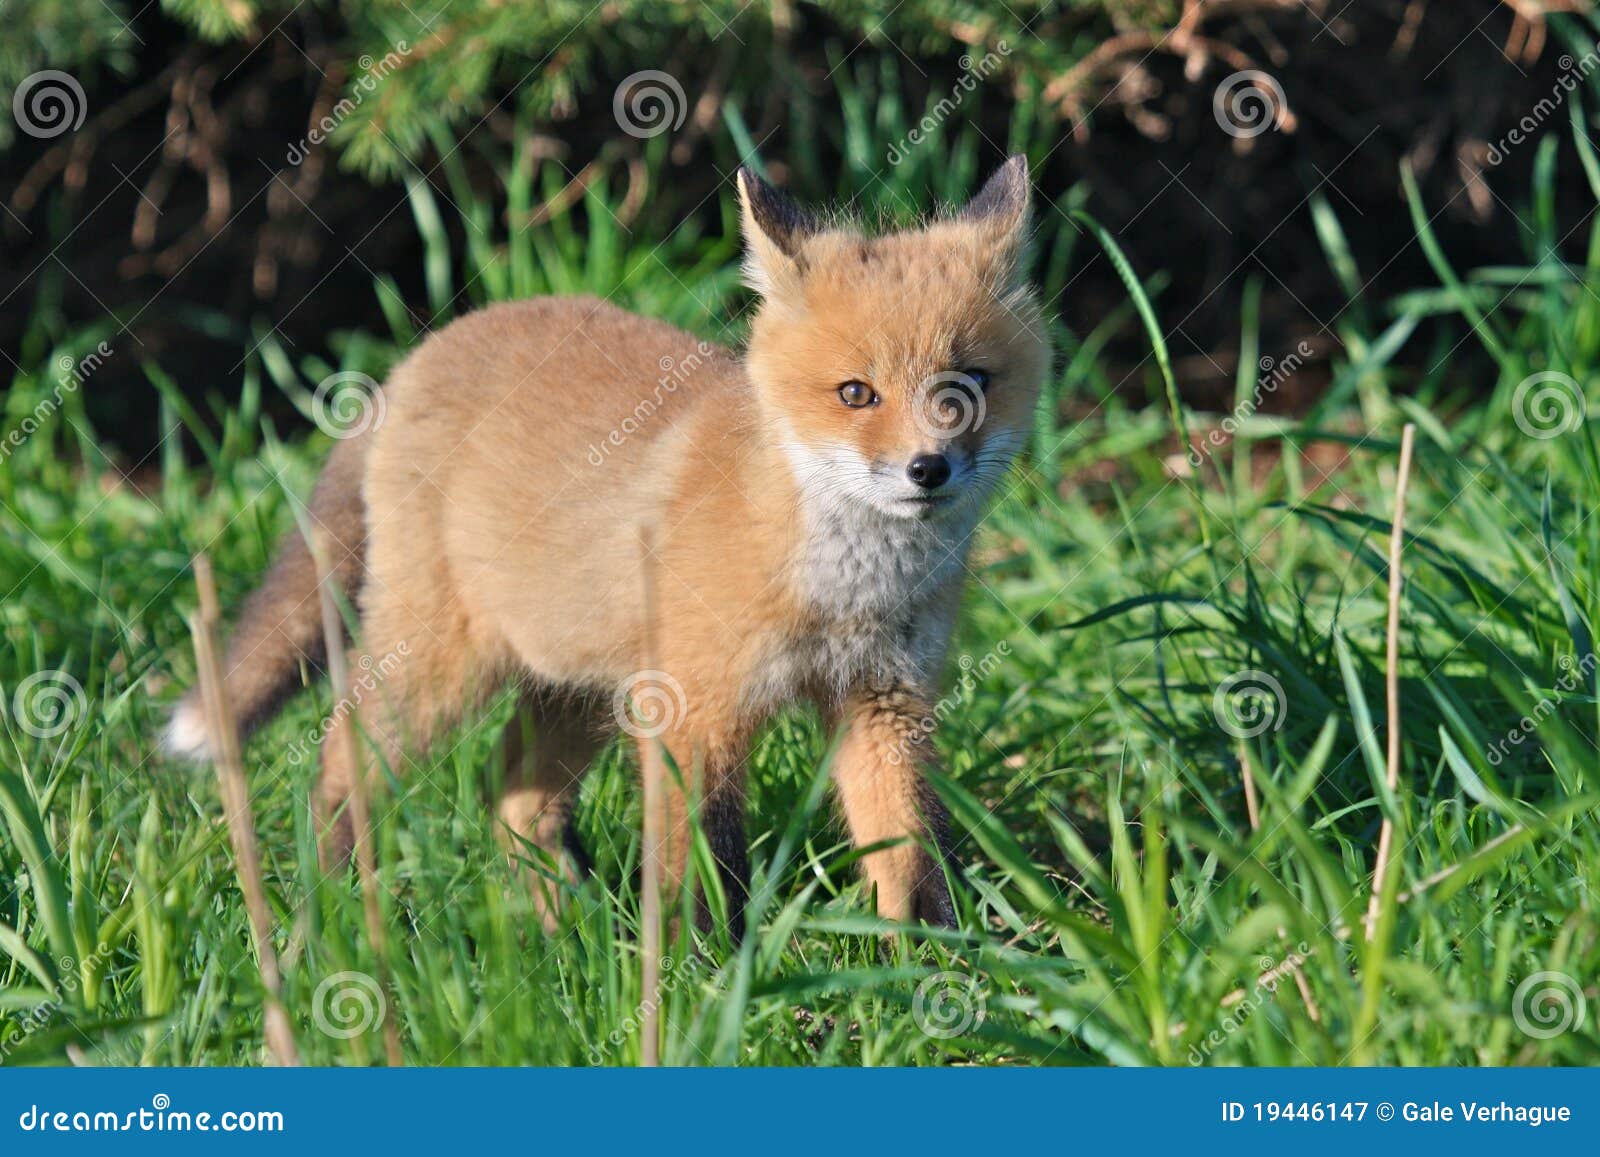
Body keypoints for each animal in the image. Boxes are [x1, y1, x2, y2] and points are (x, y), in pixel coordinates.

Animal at [165, 155, 1050, 934]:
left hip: (580, 684)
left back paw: (566, 930)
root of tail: (420, 353)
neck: (843, 592)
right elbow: (704, 866)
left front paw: (934, 969)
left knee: (512, 792)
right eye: (856, 393)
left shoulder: (884, 705)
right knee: (342, 763)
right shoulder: (696, 712)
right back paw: (332, 912)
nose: (927, 469)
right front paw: (708, 973)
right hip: (441, 671)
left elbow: (910, 856)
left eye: (966, 385)